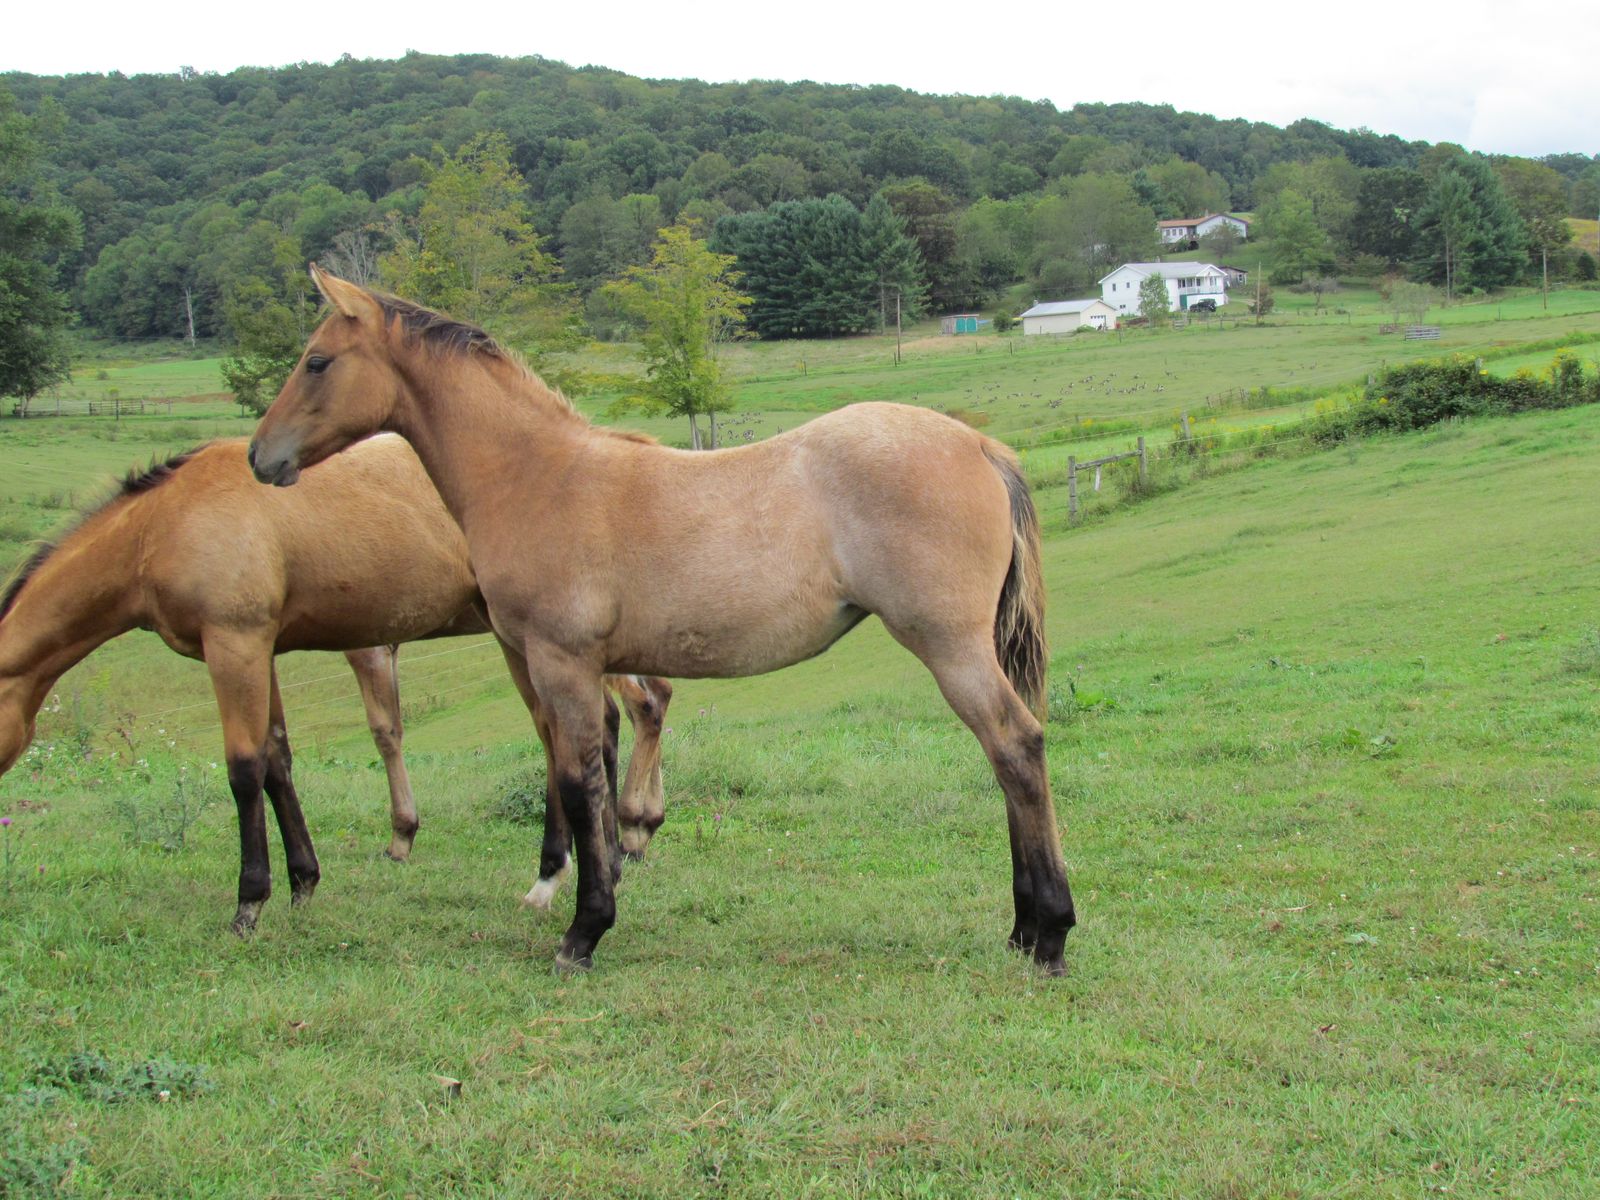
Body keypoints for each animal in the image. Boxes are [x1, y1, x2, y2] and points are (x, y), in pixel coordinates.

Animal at [0, 436, 673, 933]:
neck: (164, 523)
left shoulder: (233, 644)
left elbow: (244, 769)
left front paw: (251, 900)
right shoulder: (261, 649)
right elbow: (277, 759)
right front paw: (303, 880)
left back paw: (569, 868)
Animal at [249, 266, 1075, 976]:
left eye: (317, 361)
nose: (261, 457)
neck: (535, 476)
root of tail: (981, 445)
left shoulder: (561, 662)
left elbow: (579, 782)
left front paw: (583, 931)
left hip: (949, 646)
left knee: (1016, 746)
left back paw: (1051, 935)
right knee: (1006, 755)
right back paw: (1021, 928)